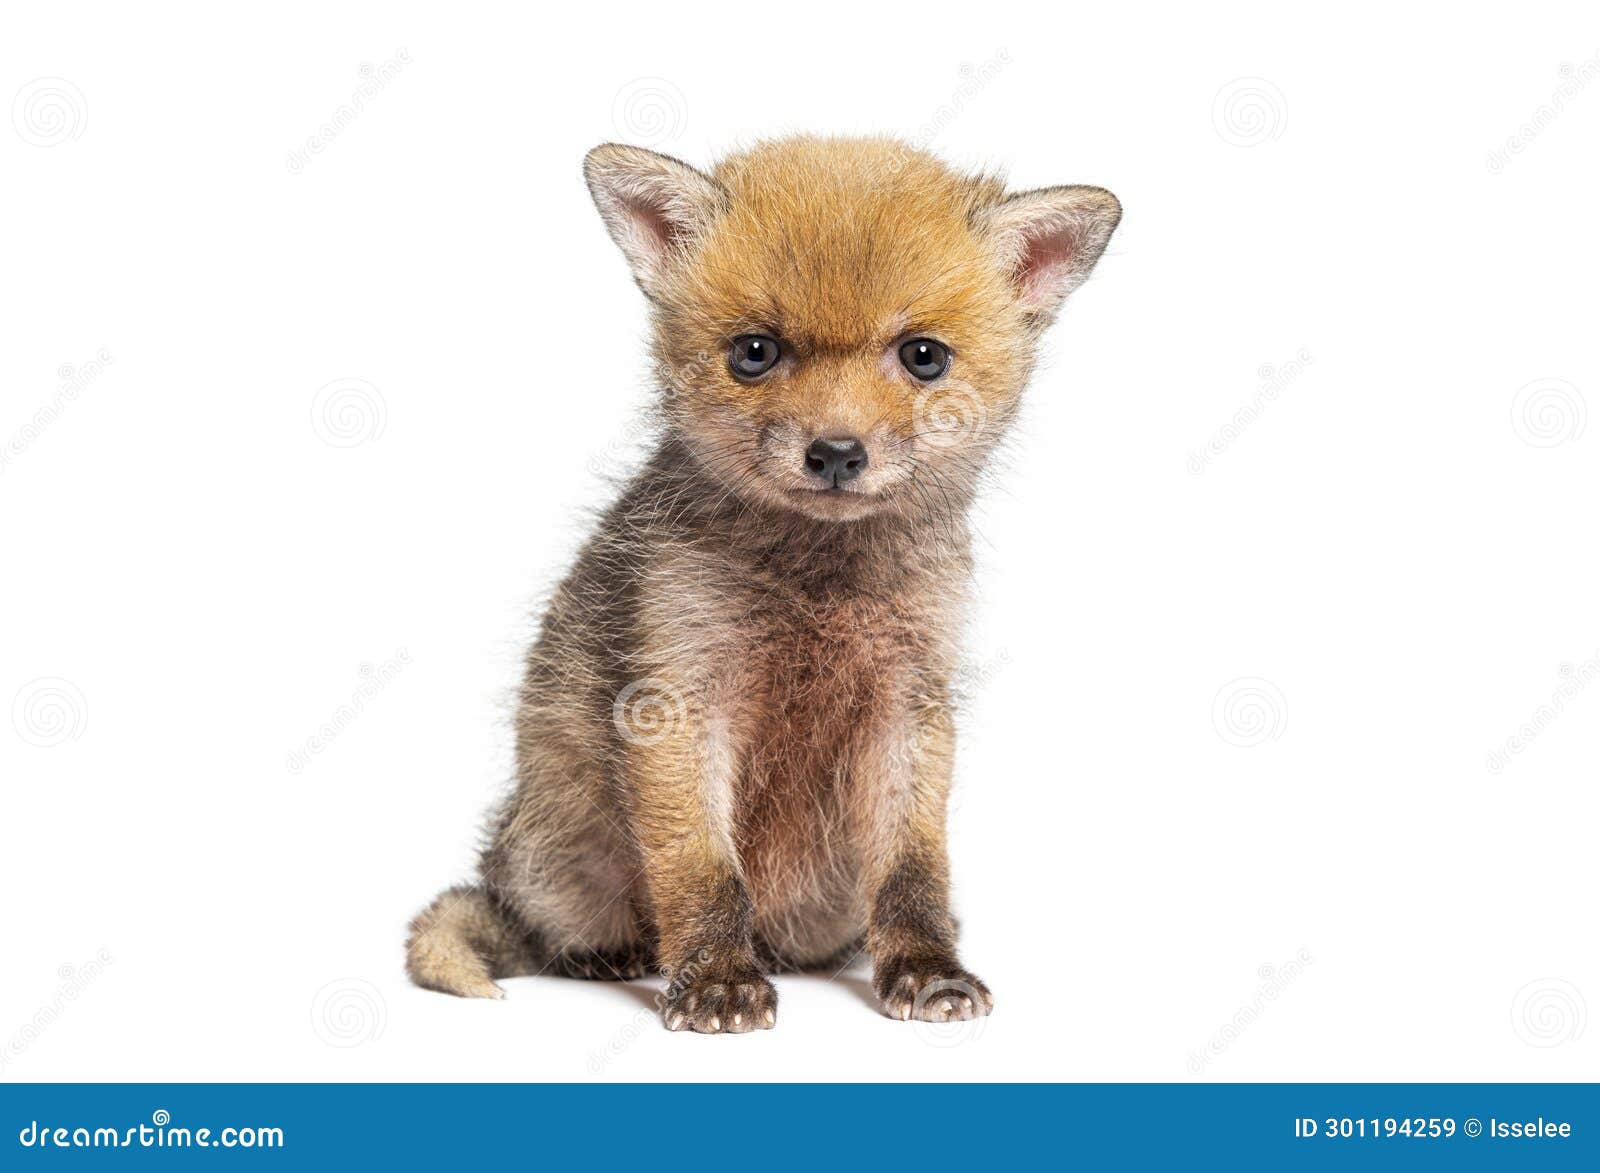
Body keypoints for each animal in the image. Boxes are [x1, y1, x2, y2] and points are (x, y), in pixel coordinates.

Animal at [406, 135, 1119, 1032]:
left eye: (923, 355)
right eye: (755, 352)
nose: (837, 453)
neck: (818, 583)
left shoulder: (911, 703)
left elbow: (913, 869)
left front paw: (925, 967)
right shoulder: (677, 699)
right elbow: (702, 870)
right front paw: (716, 978)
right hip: (561, 872)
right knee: (551, 934)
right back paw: (617, 955)